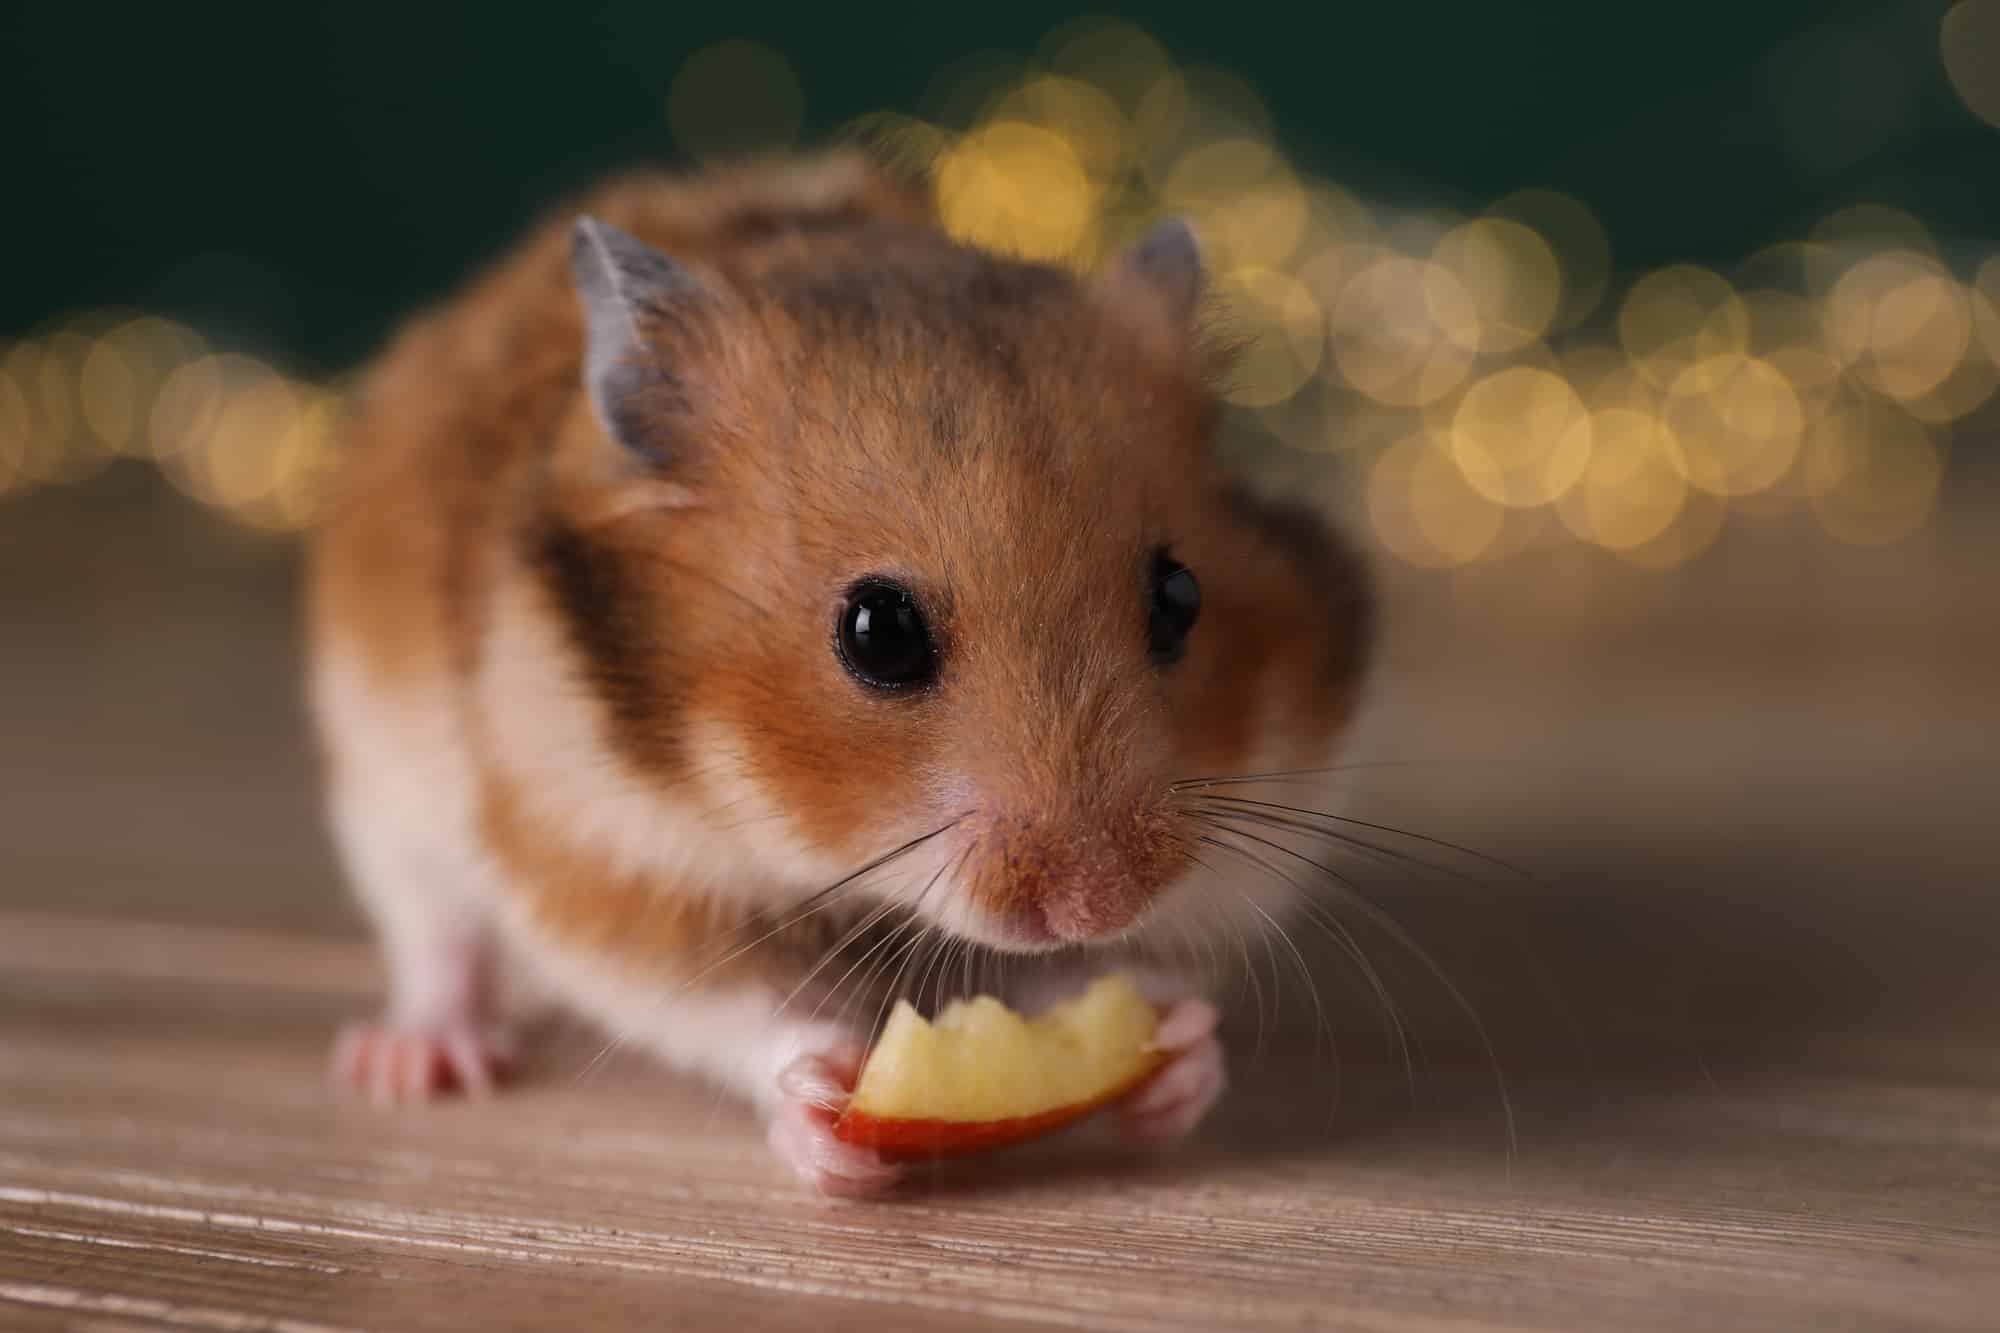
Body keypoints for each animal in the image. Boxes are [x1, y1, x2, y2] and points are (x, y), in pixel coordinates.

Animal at [306, 151, 1371, 1195]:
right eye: (879, 632)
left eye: (1180, 597)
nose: (1099, 902)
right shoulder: (598, 858)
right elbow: (720, 1003)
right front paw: (826, 1099)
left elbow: (1117, 978)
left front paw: (1180, 1054)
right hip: (388, 803)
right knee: (437, 942)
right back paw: (414, 1065)